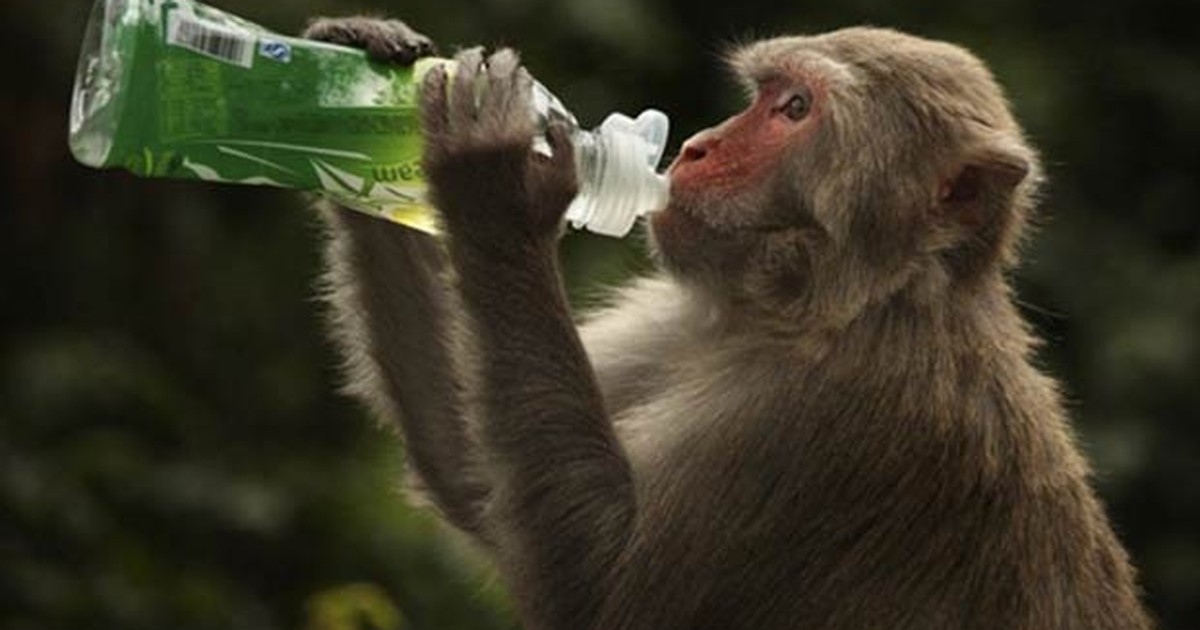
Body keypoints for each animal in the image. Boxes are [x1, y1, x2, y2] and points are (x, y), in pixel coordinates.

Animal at [306, 19, 1154, 630]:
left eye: (796, 109)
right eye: (764, 95)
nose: (695, 148)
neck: (834, 310)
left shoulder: (837, 416)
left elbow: (602, 595)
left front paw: (497, 183)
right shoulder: (679, 315)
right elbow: (472, 471)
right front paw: (357, 66)